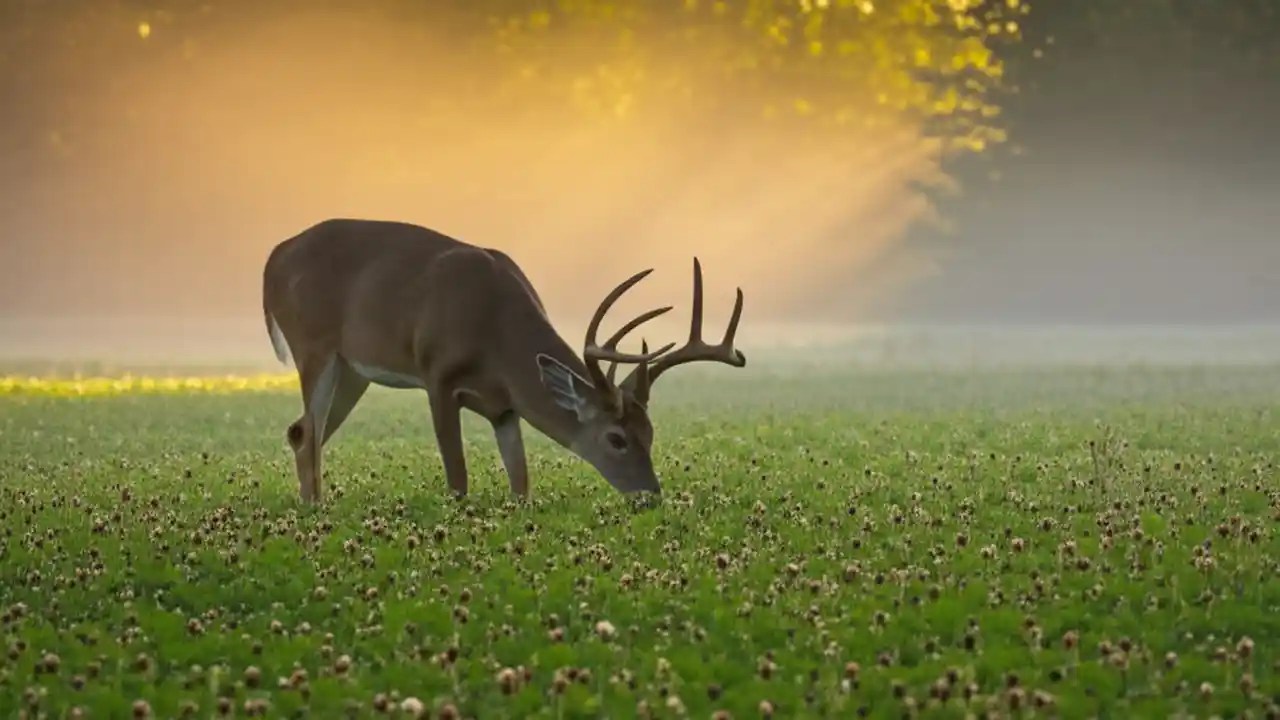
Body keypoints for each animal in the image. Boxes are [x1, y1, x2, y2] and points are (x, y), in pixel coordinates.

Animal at [262, 218, 746, 503]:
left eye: (650, 432)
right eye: (616, 438)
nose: (650, 497)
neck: (496, 334)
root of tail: (274, 256)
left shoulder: (505, 408)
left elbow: (521, 482)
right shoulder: (437, 374)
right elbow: (458, 478)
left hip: (352, 371)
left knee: (300, 431)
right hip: (314, 347)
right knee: (309, 434)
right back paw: (315, 508)